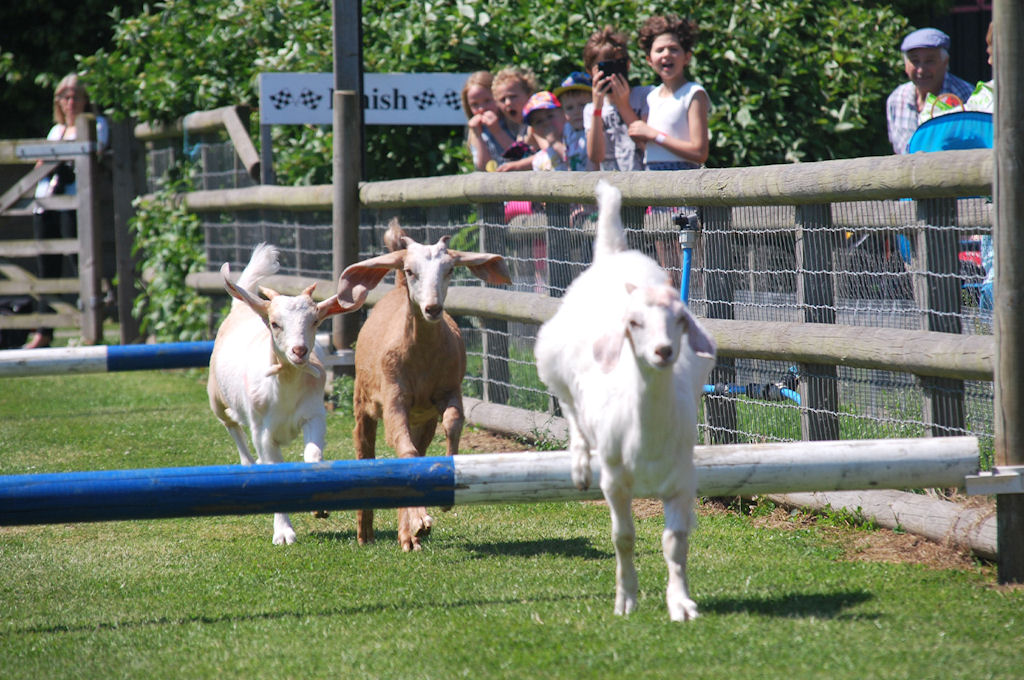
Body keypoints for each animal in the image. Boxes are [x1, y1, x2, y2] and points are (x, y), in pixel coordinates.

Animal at [207, 243, 372, 545]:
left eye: (316, 321)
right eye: (275, 323)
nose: (299, 351)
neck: (284, 388)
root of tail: (243, 307)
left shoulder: (314, 415)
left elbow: (313, 455)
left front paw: (320, 506)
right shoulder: (262, 430)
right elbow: (274, 470)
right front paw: (283, 533)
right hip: (217, 399)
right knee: (233, 427)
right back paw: (250, 466)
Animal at [338, 220, 511, 551]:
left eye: (450, 270)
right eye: (410, 270)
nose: (432, 308)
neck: (422, 360)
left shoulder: (449, 391)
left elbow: (451, 424)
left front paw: (437, 504)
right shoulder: (394, 395)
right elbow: (404, 448)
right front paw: (419, 519)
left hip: (422, 418)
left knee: (415, 449)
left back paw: (409, 535)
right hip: (362, 401)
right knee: (364, 447)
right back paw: (366, 533)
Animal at [534, 180, 717, 621]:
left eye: (680, 319)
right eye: (634, 322)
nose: (664, 351)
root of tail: (613, 253)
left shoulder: (682, 479)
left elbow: (675, 541)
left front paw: (681, 602)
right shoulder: (616, 481)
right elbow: (624, 537)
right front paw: (626, 599)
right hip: (552, 363)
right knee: (571, 411)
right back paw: (579, 465)